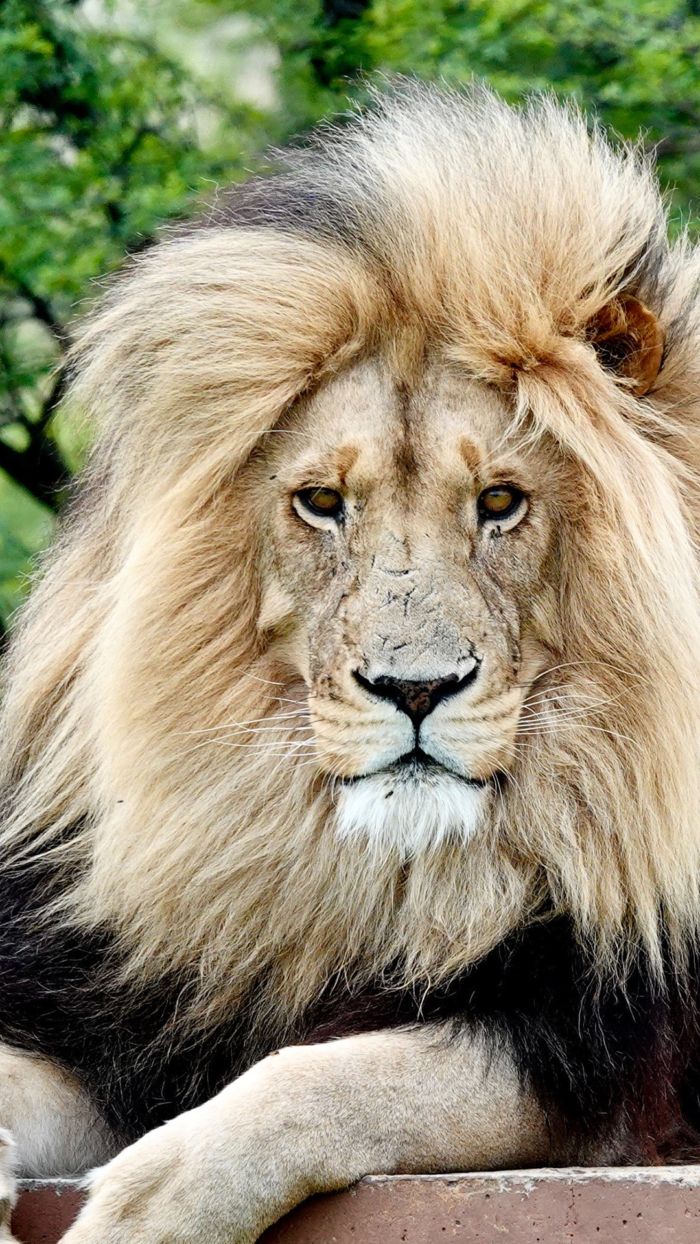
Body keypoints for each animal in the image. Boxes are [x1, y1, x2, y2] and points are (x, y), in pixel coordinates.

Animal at [0, 80, 698, 1242]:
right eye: (322, 502)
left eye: (500, 502)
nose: (413, 689)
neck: (370, 882)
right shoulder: (135, 1000)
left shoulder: (593, 1063)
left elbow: (323, 1078)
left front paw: (145, 1208)